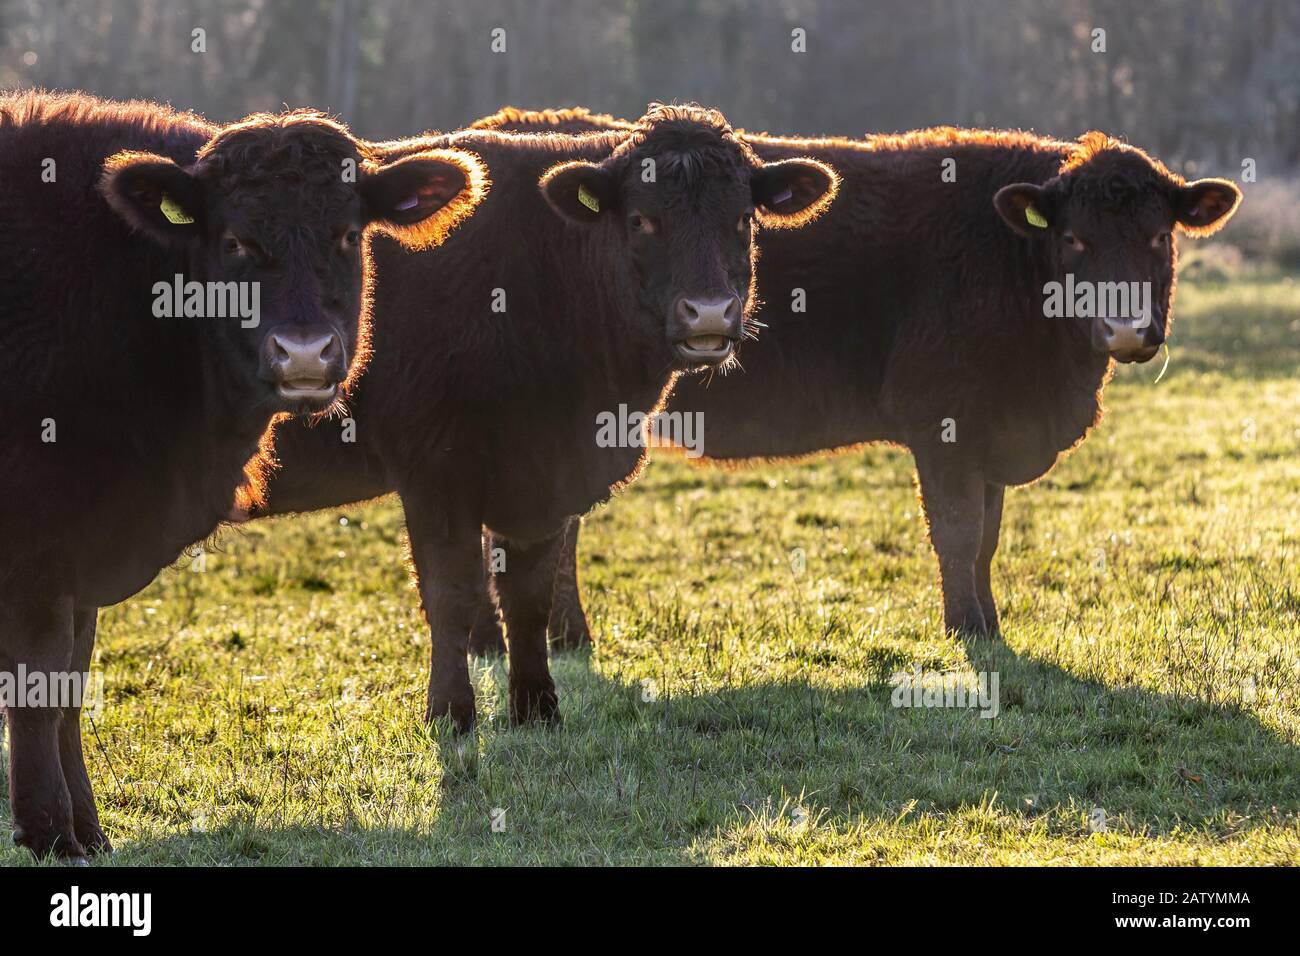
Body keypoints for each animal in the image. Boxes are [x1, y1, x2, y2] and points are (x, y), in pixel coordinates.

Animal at [0, 90, 487, 860]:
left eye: (348, 235)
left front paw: (86, 828)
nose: (305, 354)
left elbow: (71, 684)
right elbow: (41, 682)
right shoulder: (39, 549)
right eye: (234, 243)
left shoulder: (79, 558)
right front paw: (49, 830)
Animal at [252, 104, 838, 734]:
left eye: (741, 219)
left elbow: (528, 595)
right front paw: (451, 711)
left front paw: (536, 705)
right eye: (641, 220)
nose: (708, 313)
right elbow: (450, 592)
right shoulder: (435, 470)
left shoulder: (542, 475)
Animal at [474, 108, 1241, 645]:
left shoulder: (992, 424)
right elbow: (957, 530)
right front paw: (966, 630)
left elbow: (988, 537)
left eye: (1158, 238)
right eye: (1076, 240)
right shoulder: (944, 422)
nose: (1126, 330)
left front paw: (991, 623)